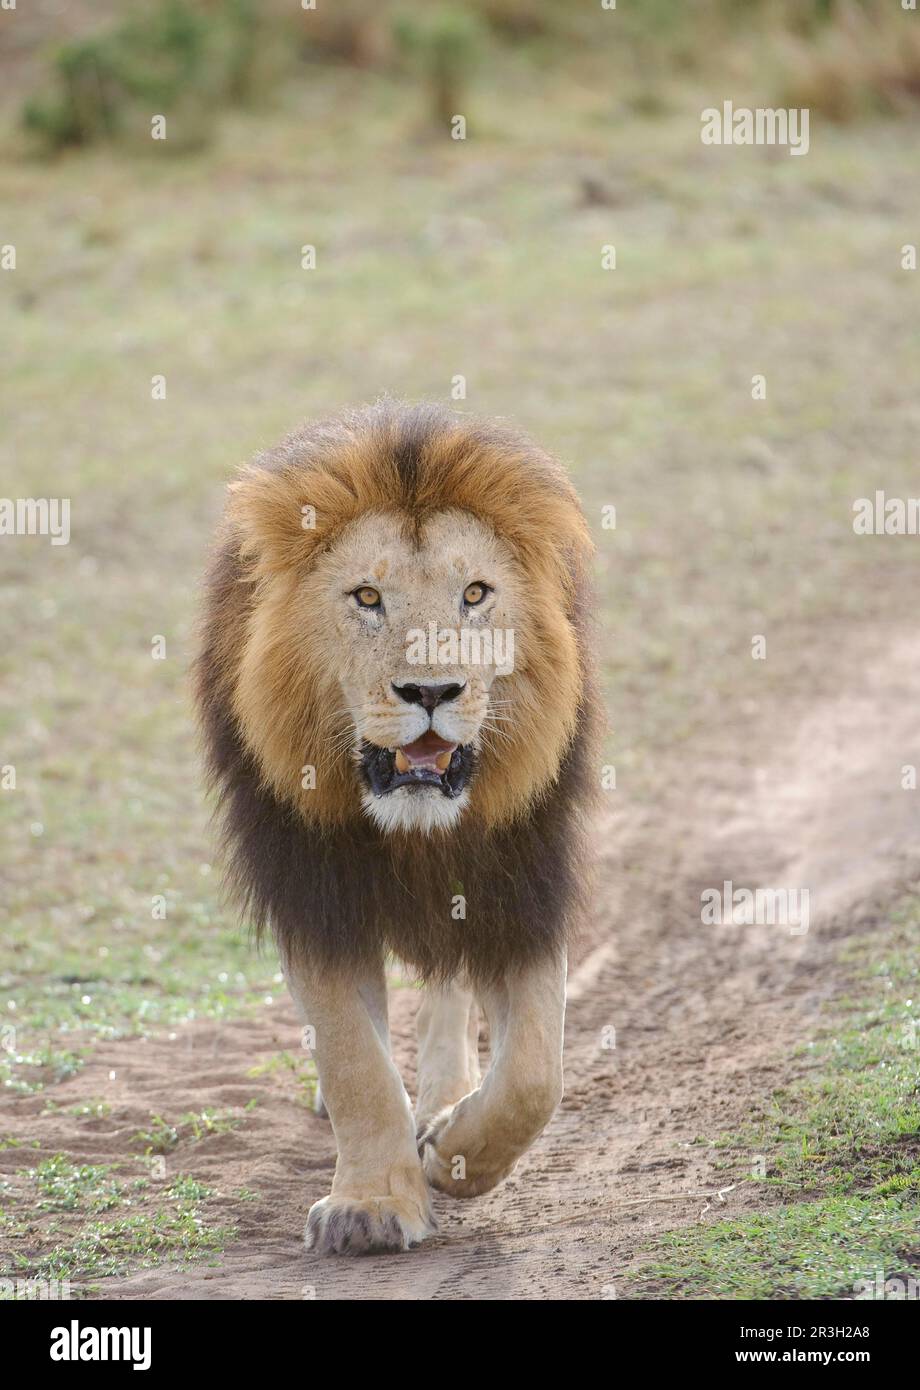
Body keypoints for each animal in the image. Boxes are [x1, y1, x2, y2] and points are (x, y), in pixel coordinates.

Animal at [195, 400, 599, 1255]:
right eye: (367, 598)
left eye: (475, 594)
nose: (432, 690)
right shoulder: (314, 890)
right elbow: (355, 1058)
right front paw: (373, 1206)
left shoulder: (519, 882)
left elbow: (535, 1075)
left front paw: (455, 1156)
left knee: (448, 991)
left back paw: (444, 1099)